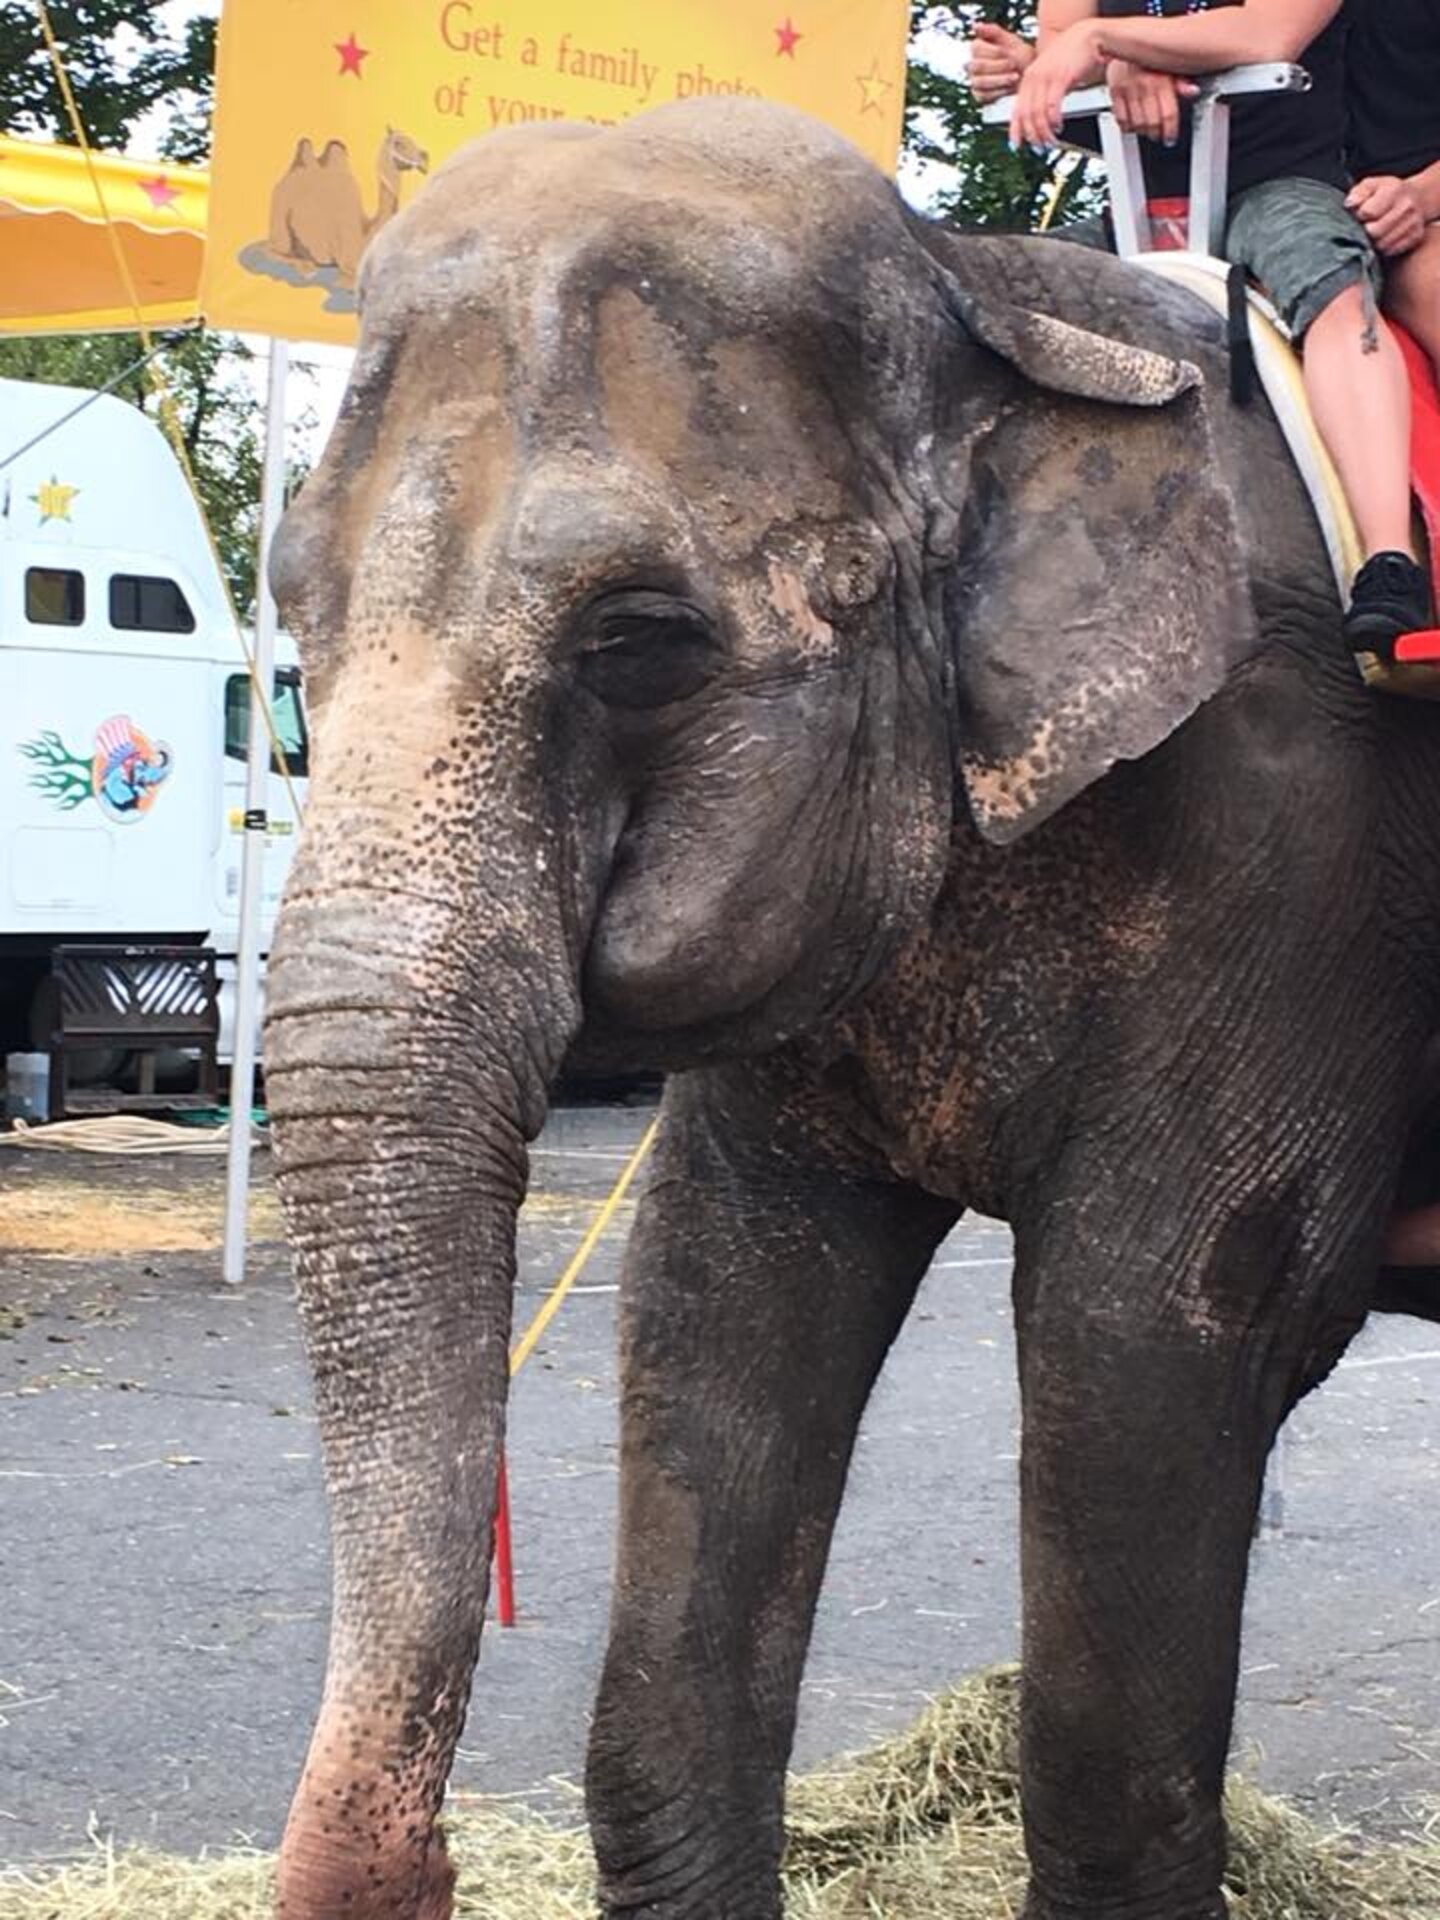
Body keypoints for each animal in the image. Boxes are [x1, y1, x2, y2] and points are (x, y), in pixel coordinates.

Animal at [262, 98, 1440, 1920]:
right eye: (289, 613)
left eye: (638, 642)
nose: (418, 1869)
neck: (991, 298)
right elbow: (714, 1291)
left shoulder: (1294, 849)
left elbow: (1158, 1328)